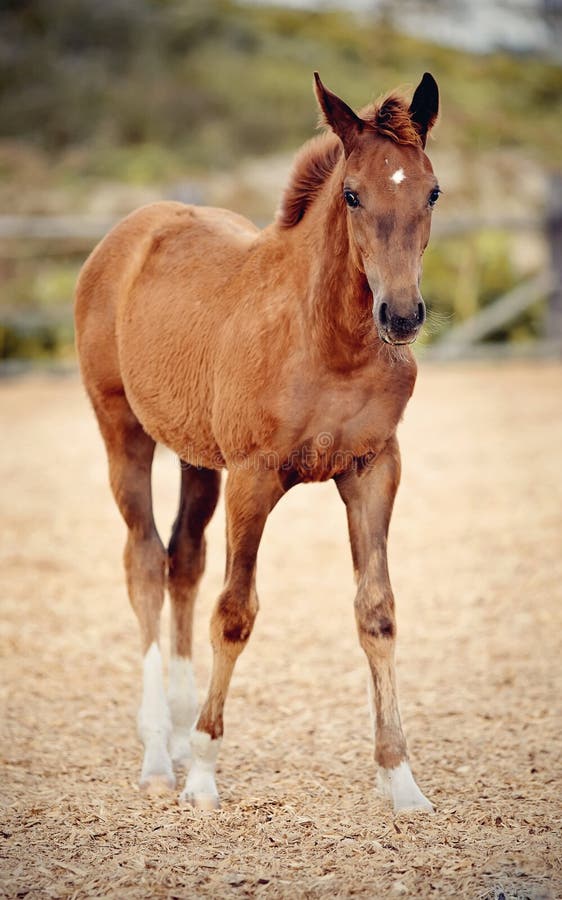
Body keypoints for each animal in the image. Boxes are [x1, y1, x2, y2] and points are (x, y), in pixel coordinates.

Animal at [75, 71, 440, 813]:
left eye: (433, 192)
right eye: (353, 193)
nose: (402, 315)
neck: (328, 341)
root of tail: (127, 232)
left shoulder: (374, 470)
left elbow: (377, 611)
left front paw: (401, 780)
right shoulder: (254, 476)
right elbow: (235, 612)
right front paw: (205, 775)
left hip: (194, 455)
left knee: (183, 559)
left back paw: (178, 734)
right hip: (123, 432)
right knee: (144, 562)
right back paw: (159, 756)